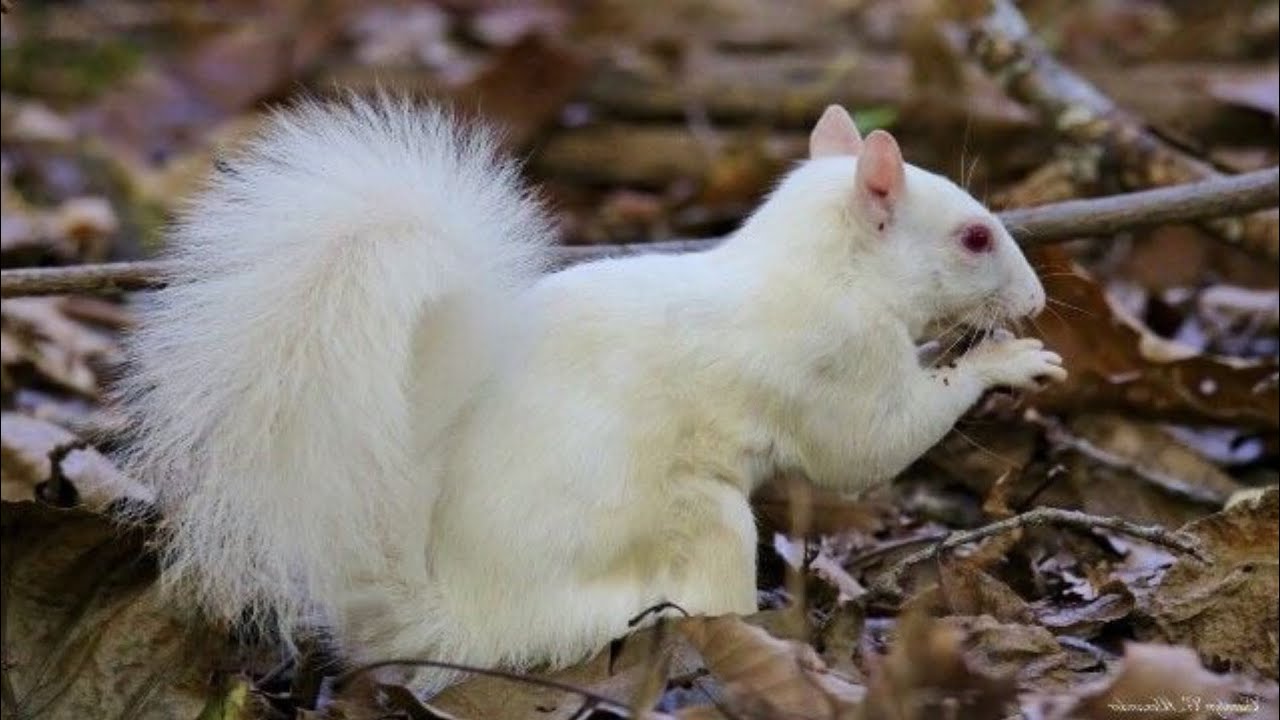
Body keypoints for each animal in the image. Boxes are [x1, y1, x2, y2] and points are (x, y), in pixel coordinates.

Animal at [117, 96, 1065, 691]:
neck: (817, 267)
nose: (1036, 300)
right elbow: (870, 447)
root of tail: (459, 623)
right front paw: (1008, 362)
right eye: (975, 237)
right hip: (698, 530)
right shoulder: (837, 362)